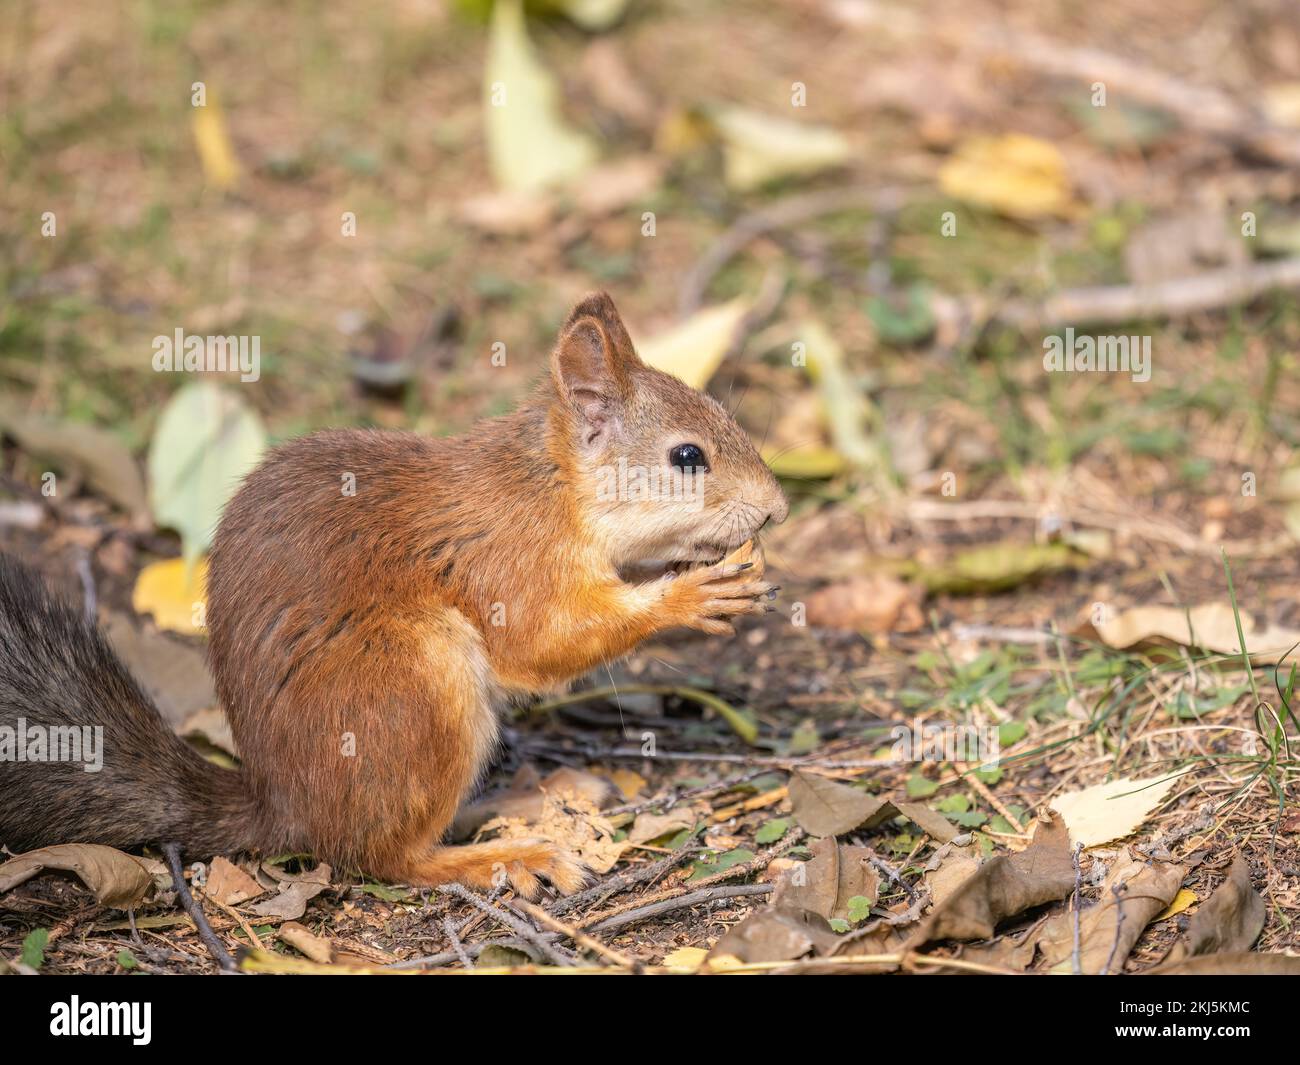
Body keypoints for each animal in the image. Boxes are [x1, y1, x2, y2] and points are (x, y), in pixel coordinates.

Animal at [0, 292, 788, 897]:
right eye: (687, 457)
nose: (776, 508)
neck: (553, 487)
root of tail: (285, 806)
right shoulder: (509, 562)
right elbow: (542, 642)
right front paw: (689, 597)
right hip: (410, 681)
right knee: (386, 857)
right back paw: (505, 854)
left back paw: (526, 796)